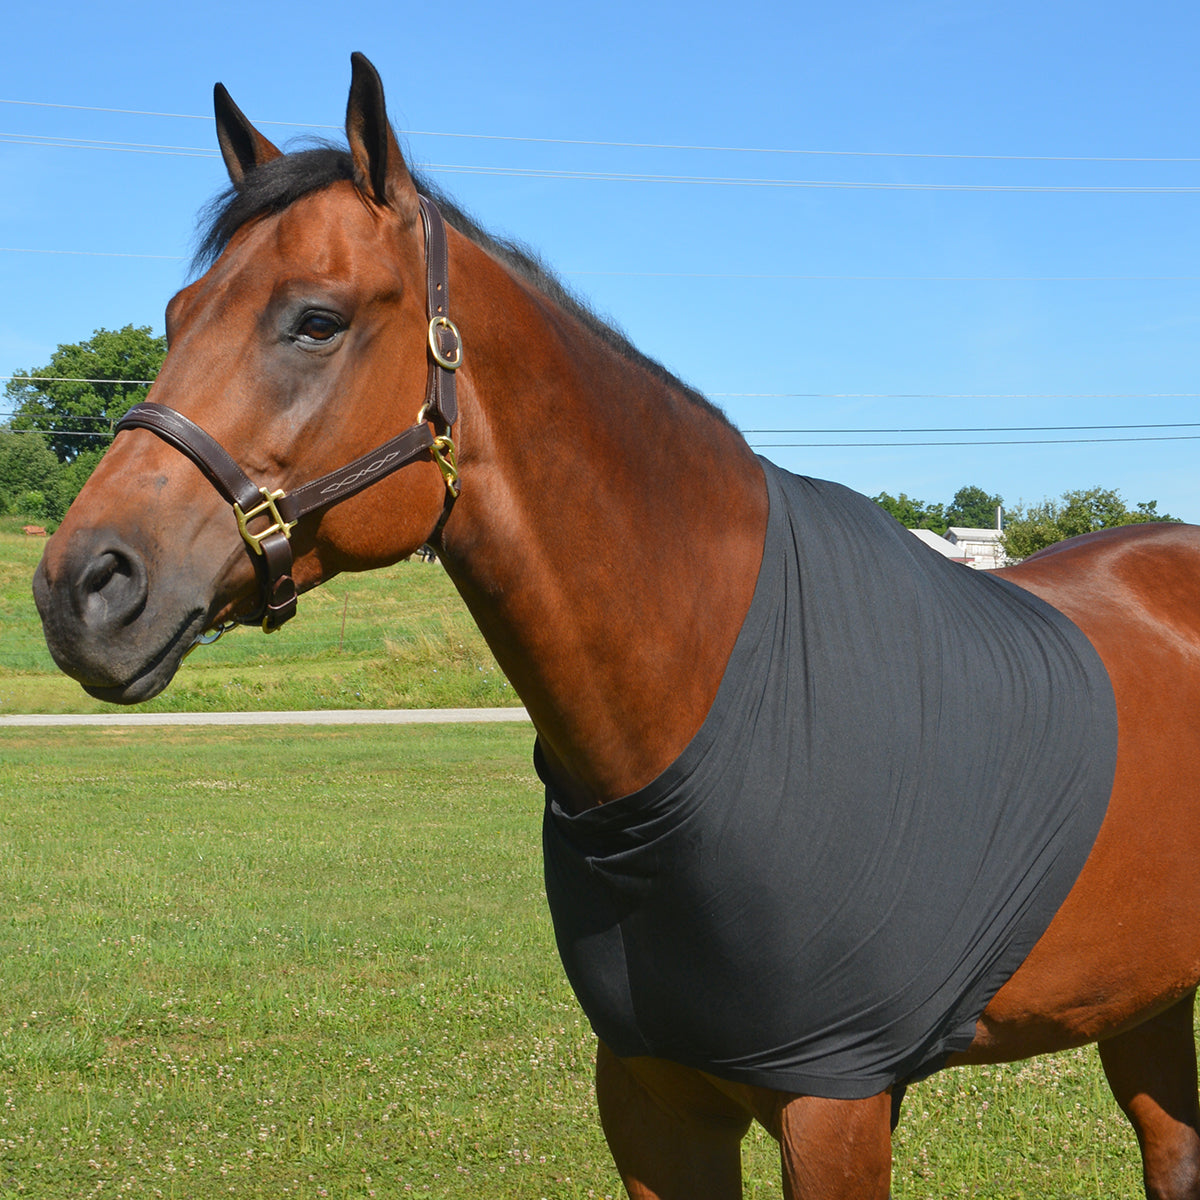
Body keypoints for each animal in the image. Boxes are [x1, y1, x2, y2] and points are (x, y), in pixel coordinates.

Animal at [32, 54, 1200, 1199]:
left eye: (316, 319)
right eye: (177, 315)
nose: (80, 587)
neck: (699, 689)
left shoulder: (838, 1104)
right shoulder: (650, 1100)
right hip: (1147, 1006)